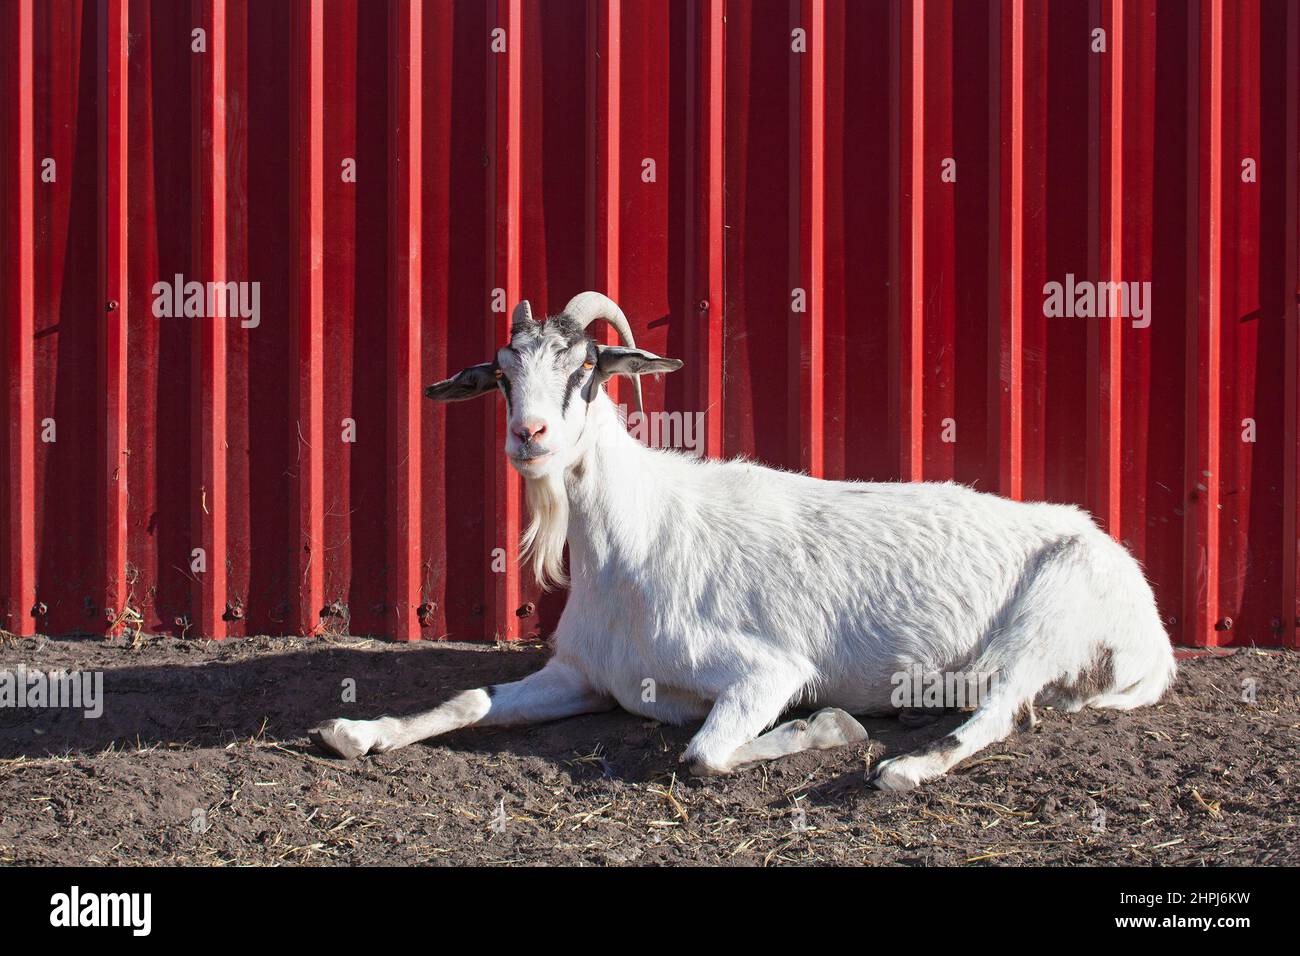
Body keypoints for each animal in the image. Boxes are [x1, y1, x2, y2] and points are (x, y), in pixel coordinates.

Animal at [310, 292, 1176, 790]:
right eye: (499, 374)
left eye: (587, 367)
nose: (530, 436)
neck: (633, 544)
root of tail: (1155, 633)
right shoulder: (583, 676)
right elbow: (471, 699)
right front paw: (357, 732)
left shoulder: (767, 669)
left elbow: (703, 754)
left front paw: (831, 726)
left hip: (1049, 615)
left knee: (997, 713)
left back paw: (906, 764)